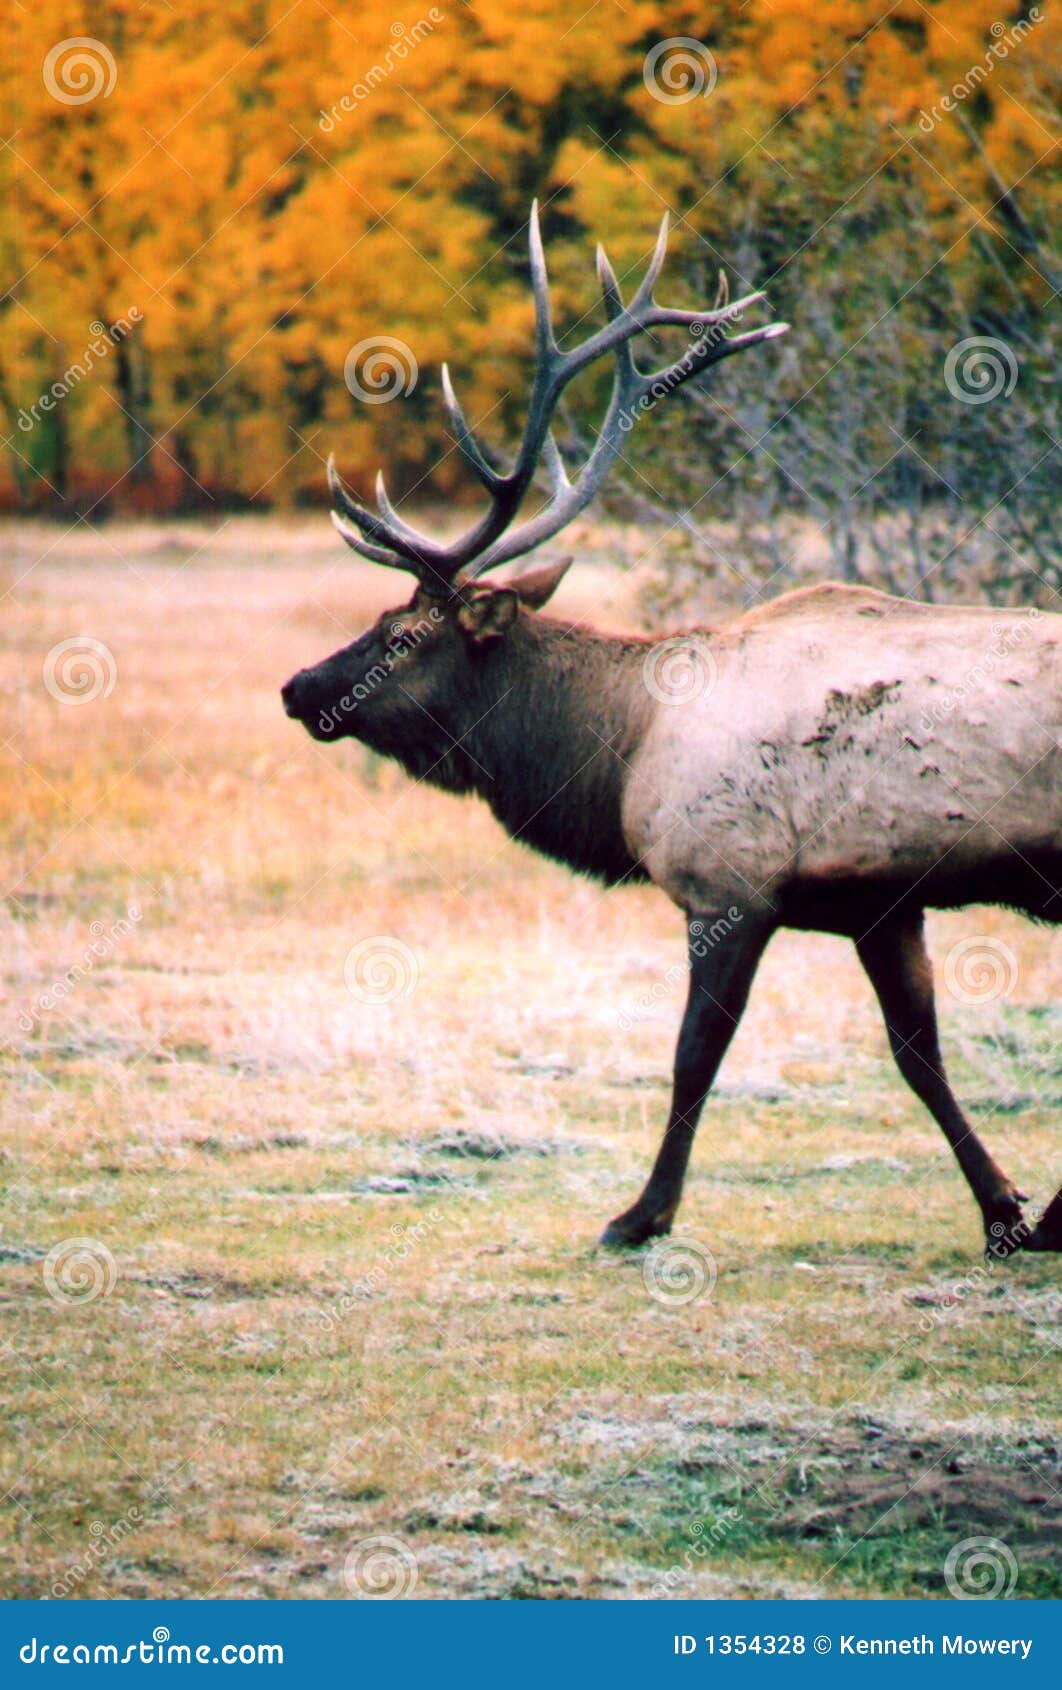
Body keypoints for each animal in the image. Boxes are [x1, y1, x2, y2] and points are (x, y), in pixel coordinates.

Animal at [282, 203, 1061, 1259]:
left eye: (402, 635)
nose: (296, 686)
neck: (619, 755)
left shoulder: (727, 883)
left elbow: (695, 1055)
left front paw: (640, 1215)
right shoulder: (880, 903)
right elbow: (918, 1056)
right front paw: (1005, 1209)